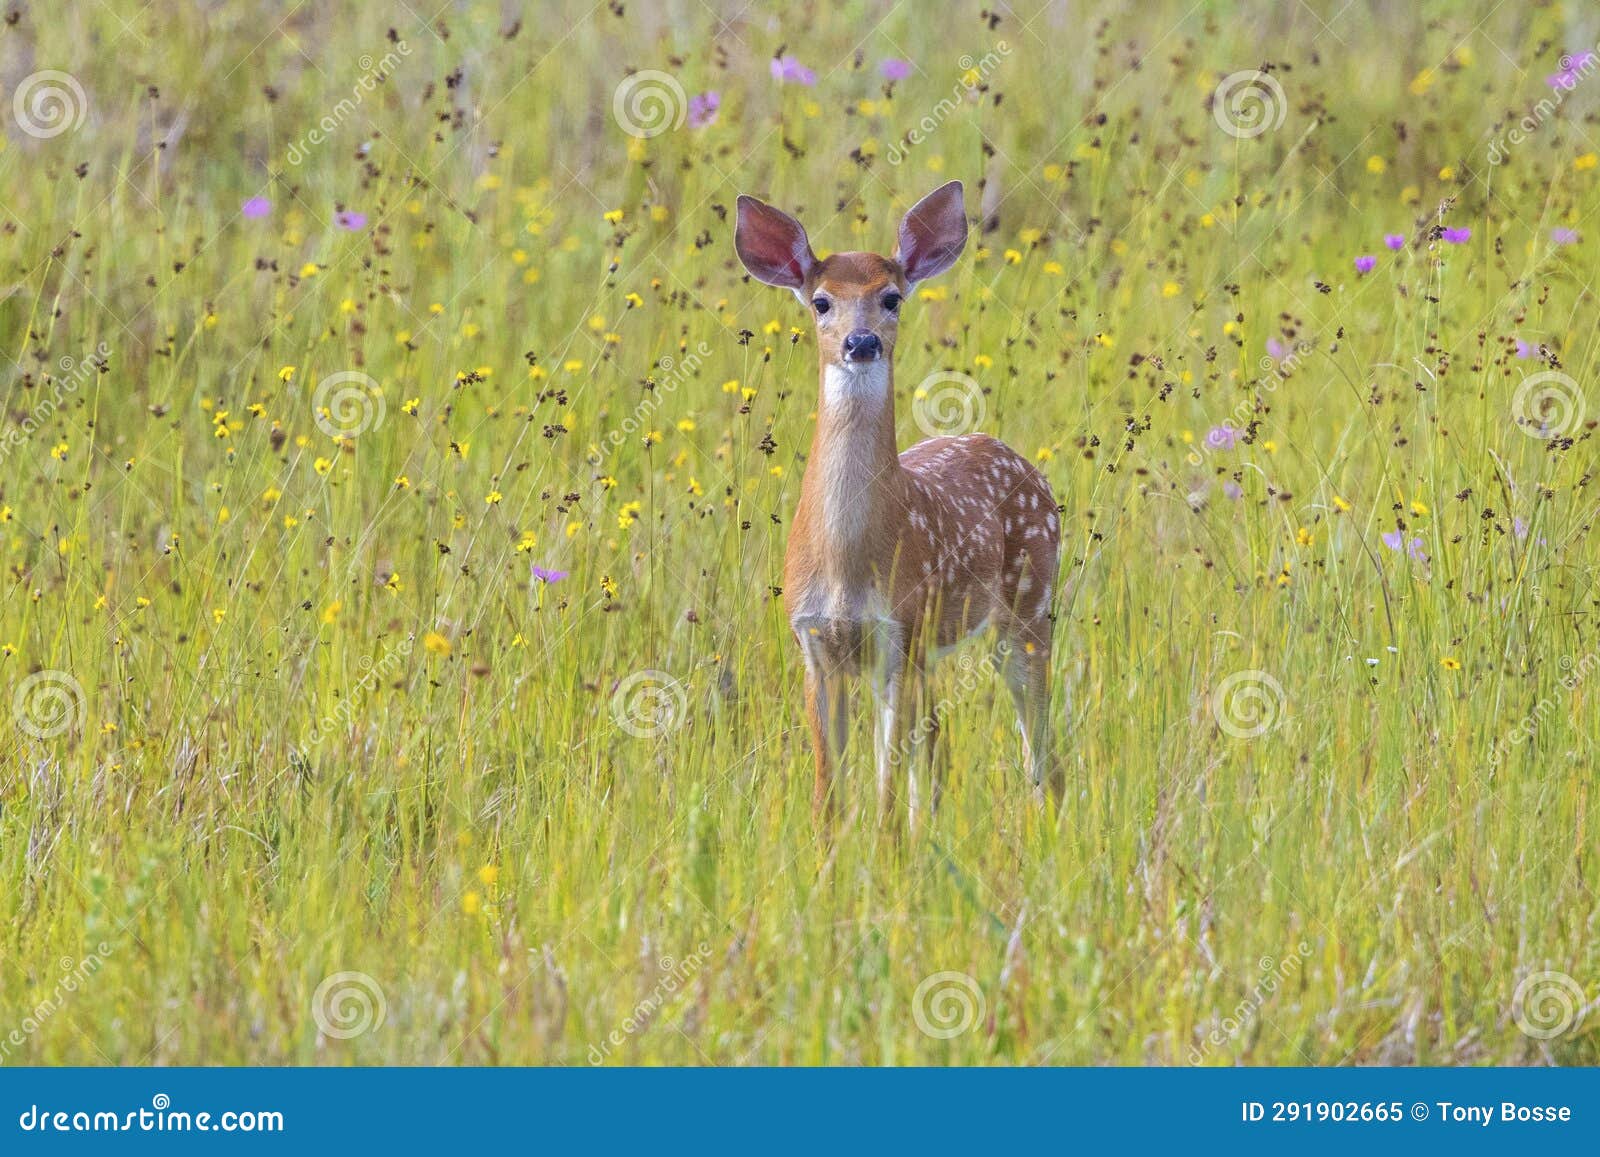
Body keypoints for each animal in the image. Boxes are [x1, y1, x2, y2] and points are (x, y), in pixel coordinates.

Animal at [734, 180, 1062, 832]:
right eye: (821, 302)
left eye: (890, 297)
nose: (861, 342)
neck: (845, 564)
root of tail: (1019, 459)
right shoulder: (815, 646)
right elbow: (829, 792)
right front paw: (831, 851)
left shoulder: (897, 635)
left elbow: (885, 786)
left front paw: (884, 850)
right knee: (940, 752)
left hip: (1028, 609)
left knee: (1041, 753)